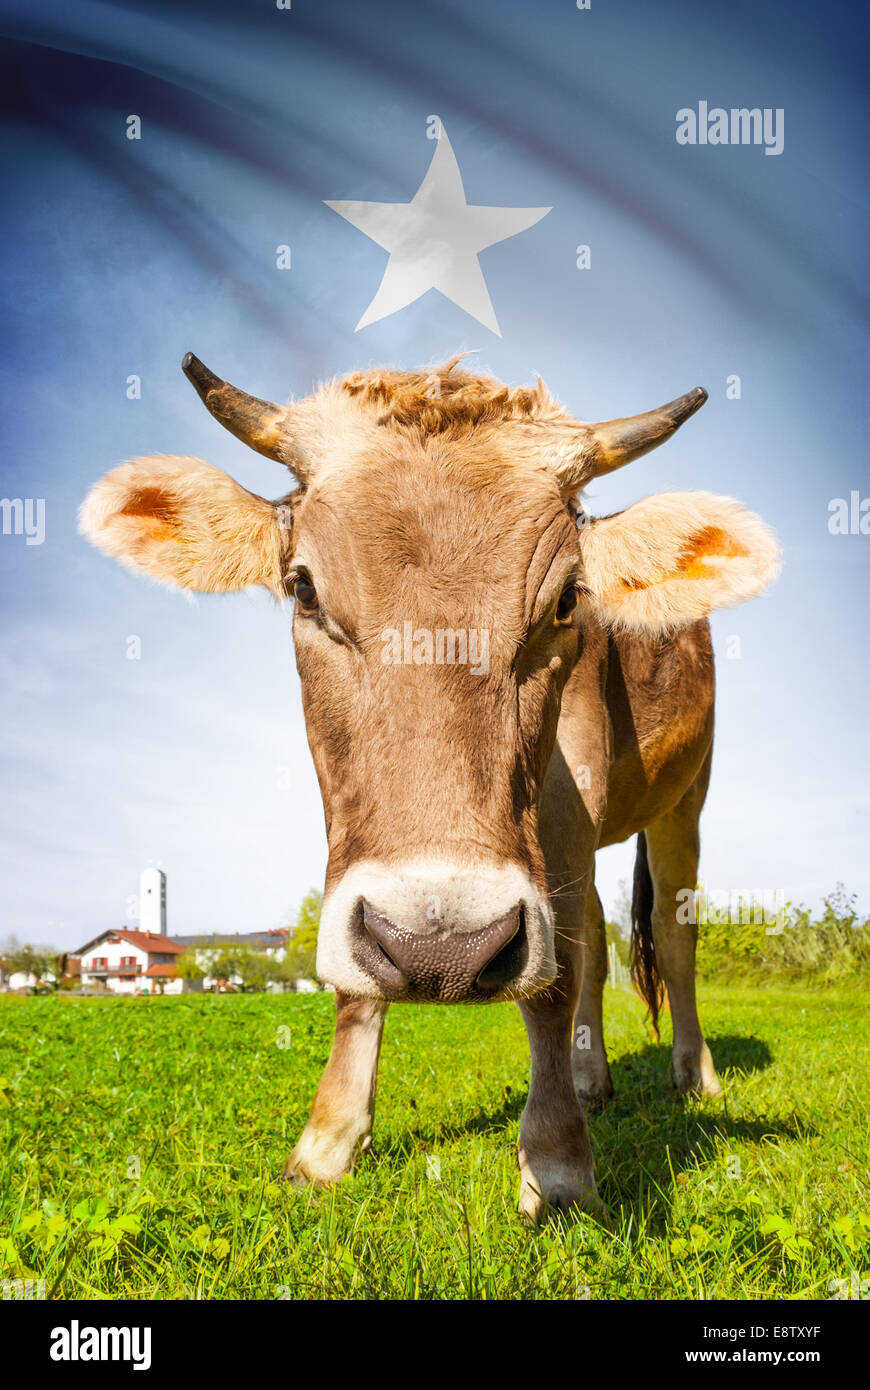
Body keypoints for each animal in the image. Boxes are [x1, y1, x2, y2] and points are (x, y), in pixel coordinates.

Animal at [80, 353, 781, 1221]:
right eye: (304, 588)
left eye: (566, 600)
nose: (440, 949)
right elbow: (363, 974)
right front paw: (326, 1142)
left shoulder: (571, 795)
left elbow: (553, 978)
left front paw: (557, 1162)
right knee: (593, 938)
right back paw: (592, 1080)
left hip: (686, 799)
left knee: (671, 939)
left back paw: (694, 1074)